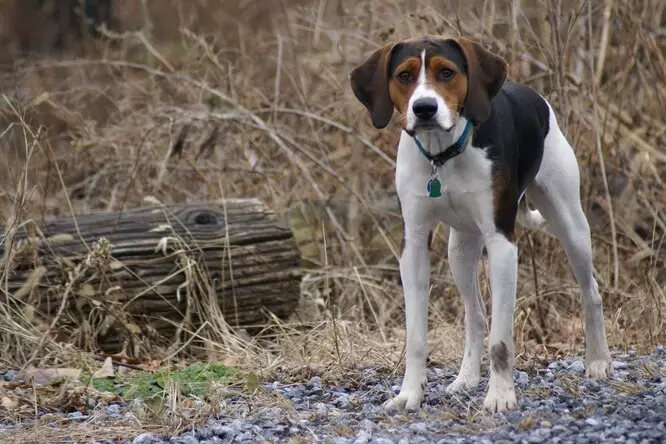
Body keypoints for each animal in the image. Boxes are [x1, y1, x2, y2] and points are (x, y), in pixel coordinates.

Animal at [348, 36, 612, 414]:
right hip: (459, 250)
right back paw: (466, 379)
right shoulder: (413, 246)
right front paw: (410, 393)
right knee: (475, 314)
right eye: (404, 76)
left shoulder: (501, 243)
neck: (443, 156)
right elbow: (416, 338)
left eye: (446, 72)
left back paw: (599, 361)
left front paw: (500, 396)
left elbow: (501, 340)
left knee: (591, 293)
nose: (424, 108)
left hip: (571, 226)